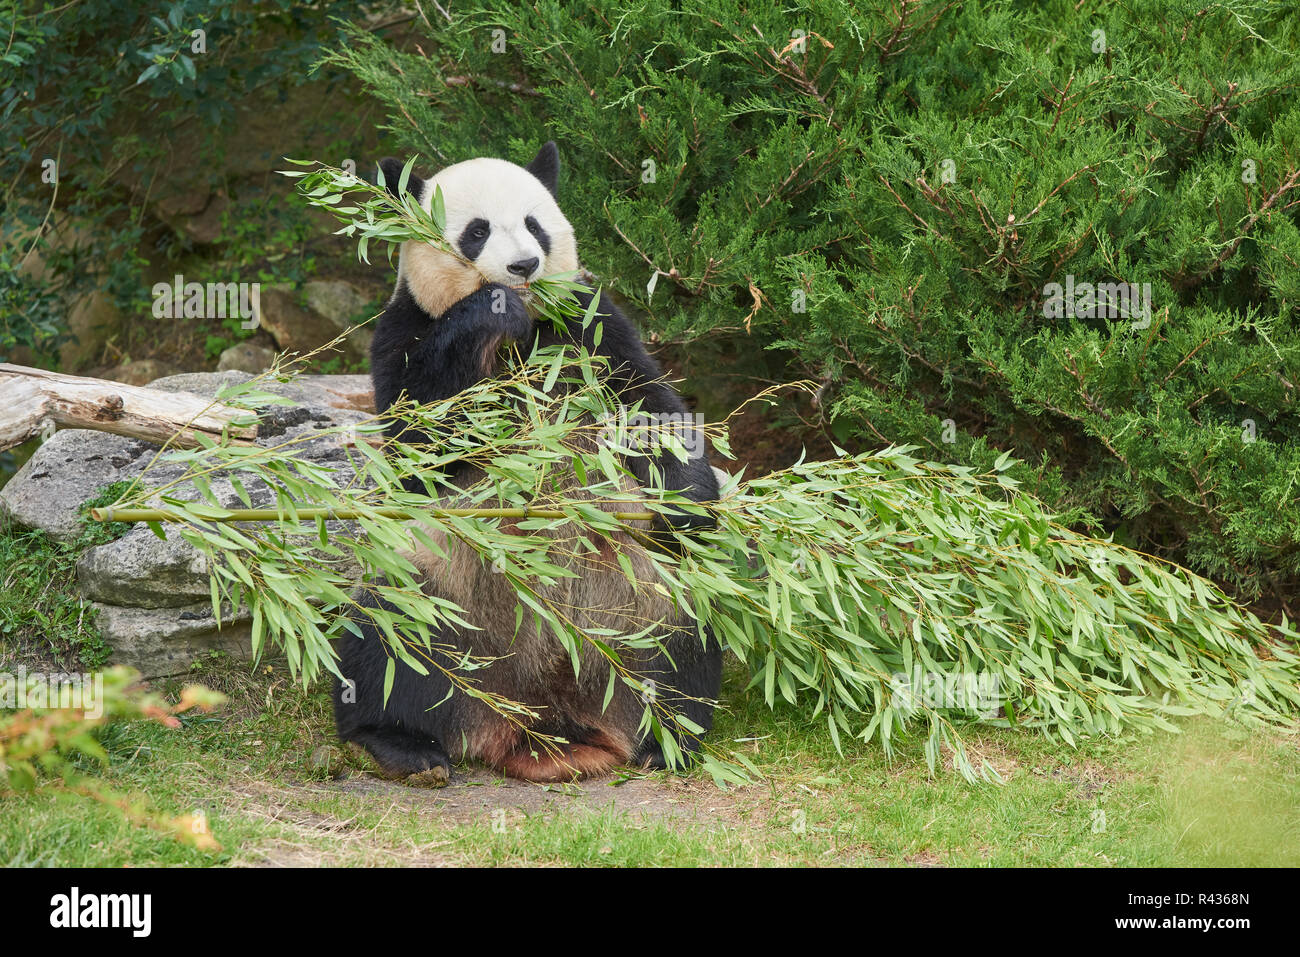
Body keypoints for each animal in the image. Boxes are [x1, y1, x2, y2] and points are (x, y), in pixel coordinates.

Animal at [331, 142, 724, 785]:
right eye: (477, 231)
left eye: (535, 224)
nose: (523, 266)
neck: (528, 327)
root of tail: (540, 721)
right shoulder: (404, 328)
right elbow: (422, 438)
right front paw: (493, 308)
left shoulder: (591, 323)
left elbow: (649, 408)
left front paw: (689, 501)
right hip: (441, 588)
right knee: (387, 636)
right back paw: (403, 746)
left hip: (641, 598)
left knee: (685, 628)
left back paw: (667, 740)